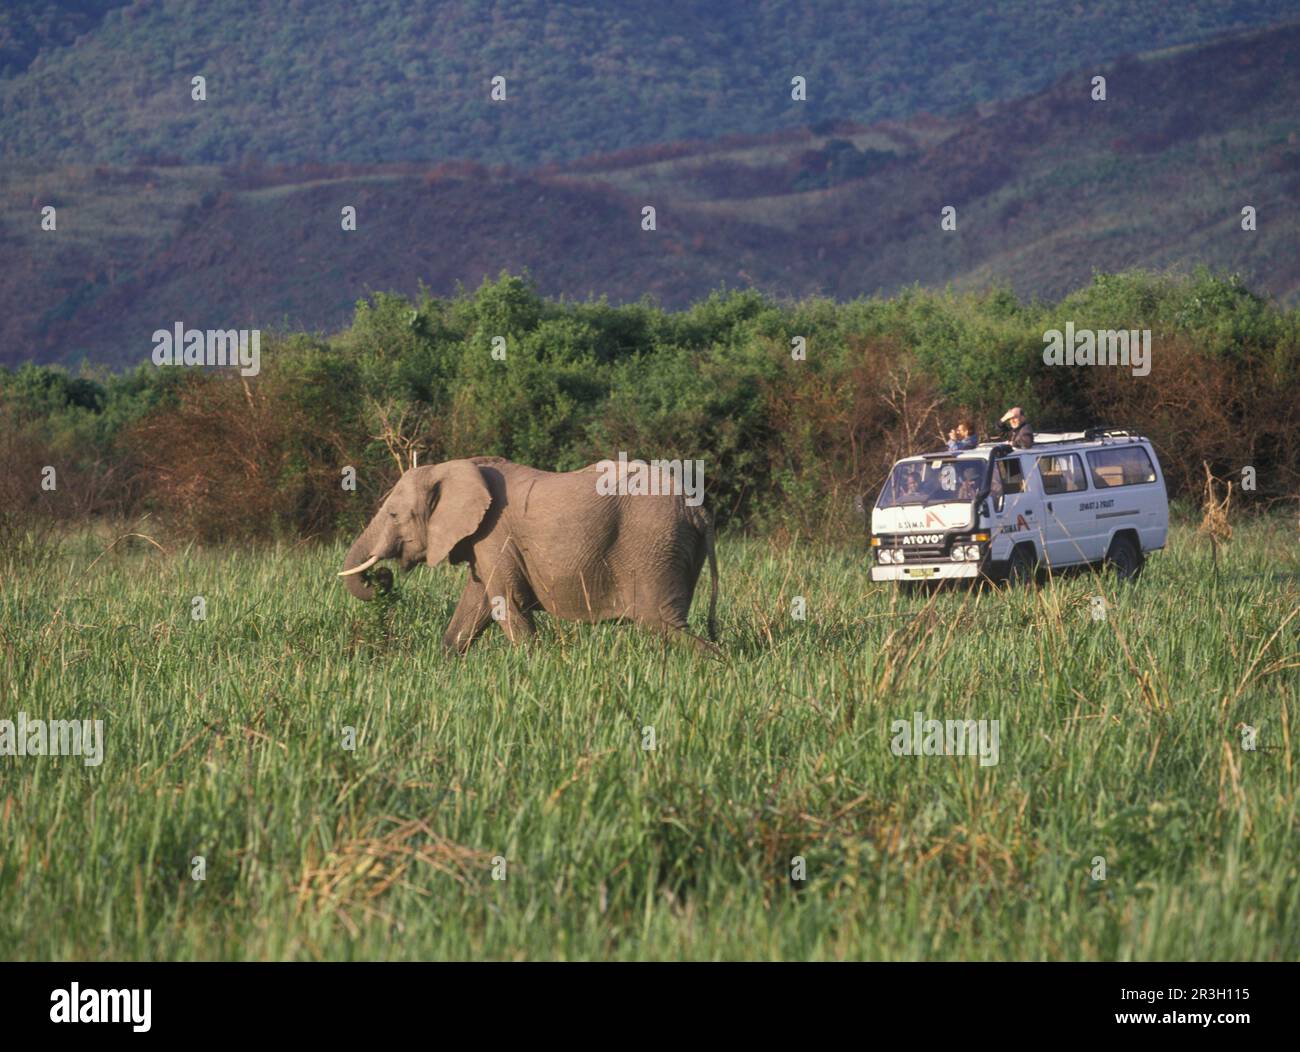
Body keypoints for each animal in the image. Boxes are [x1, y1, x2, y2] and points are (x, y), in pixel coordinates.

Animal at [339, 456, 719, 653]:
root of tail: (697, 510)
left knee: (663, 623)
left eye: (393, 515)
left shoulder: (494, 535)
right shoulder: (483, 544)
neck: (452, 467)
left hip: (655, 547)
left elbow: (506, 603)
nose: (382, 577)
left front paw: (533, 666)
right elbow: (476, 604)